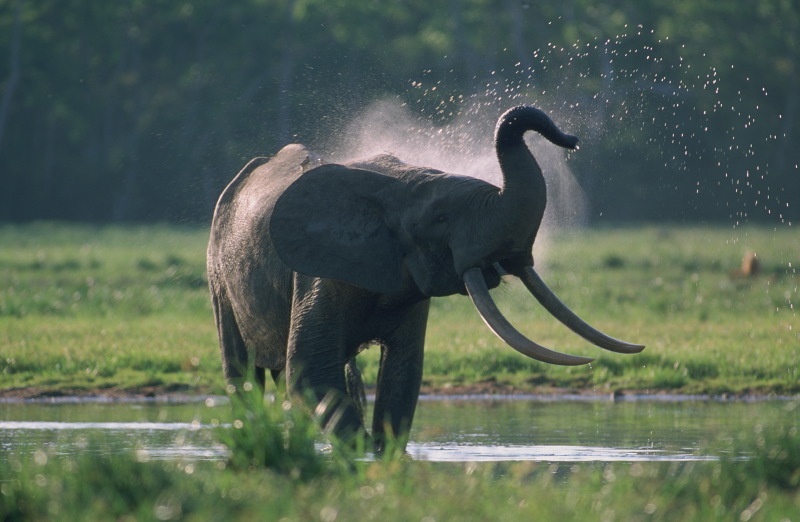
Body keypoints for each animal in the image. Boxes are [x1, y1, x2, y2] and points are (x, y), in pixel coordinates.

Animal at [206, 105, 644, 451]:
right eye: (441, 218)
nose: (571, 139)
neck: (398, 185)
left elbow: (403, 373)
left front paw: (384, 457)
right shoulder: (317, 272)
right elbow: (310, 368)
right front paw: (363, 457)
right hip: (217, 269)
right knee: (242, 372)